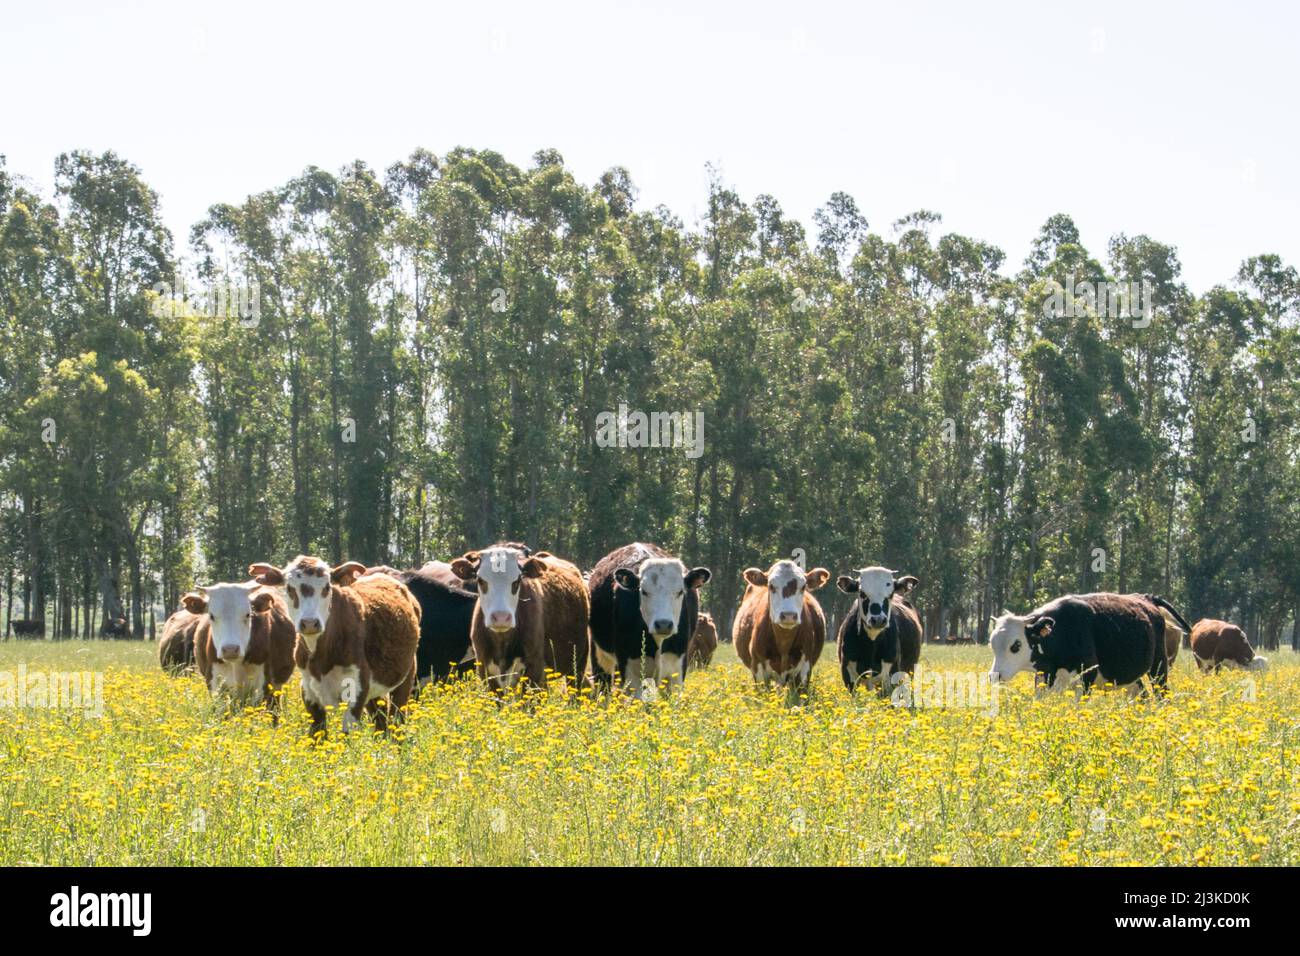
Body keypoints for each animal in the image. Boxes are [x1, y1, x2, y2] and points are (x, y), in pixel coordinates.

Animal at [249, 556, 420, 737]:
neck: (320, 656)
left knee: (397, 718)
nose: (310, 623)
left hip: (406, 676)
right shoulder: (309, 691)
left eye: (326, 587)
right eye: (290, 588)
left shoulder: (356, 689)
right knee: (381, 721)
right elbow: (318, 734)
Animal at [450, 546, 589, 694]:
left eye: (516, 581)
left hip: (578, 665)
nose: (501, 618)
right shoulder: (485, 672)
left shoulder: (535, 672)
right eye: (480, 580)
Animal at [587, 542, 710, 697]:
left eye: (680, 592)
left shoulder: (677, 667)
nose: (663, 624)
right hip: (600, 657)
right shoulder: (630, 670)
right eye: (644, 591)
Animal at [733, 560, 830, 692]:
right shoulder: (758, 669)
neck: (784, 641)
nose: (789, 615)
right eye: (771, 586)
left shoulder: (804, 670)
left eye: (803, 586)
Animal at [987, 592, 1187, 696]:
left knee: (1162, 695)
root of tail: (1145, 598)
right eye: (993, 645)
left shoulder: (1087, 674)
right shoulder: (1044, 676)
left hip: (1159, 668)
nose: (994, 675)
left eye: (1016, 645)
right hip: (1130, 677)